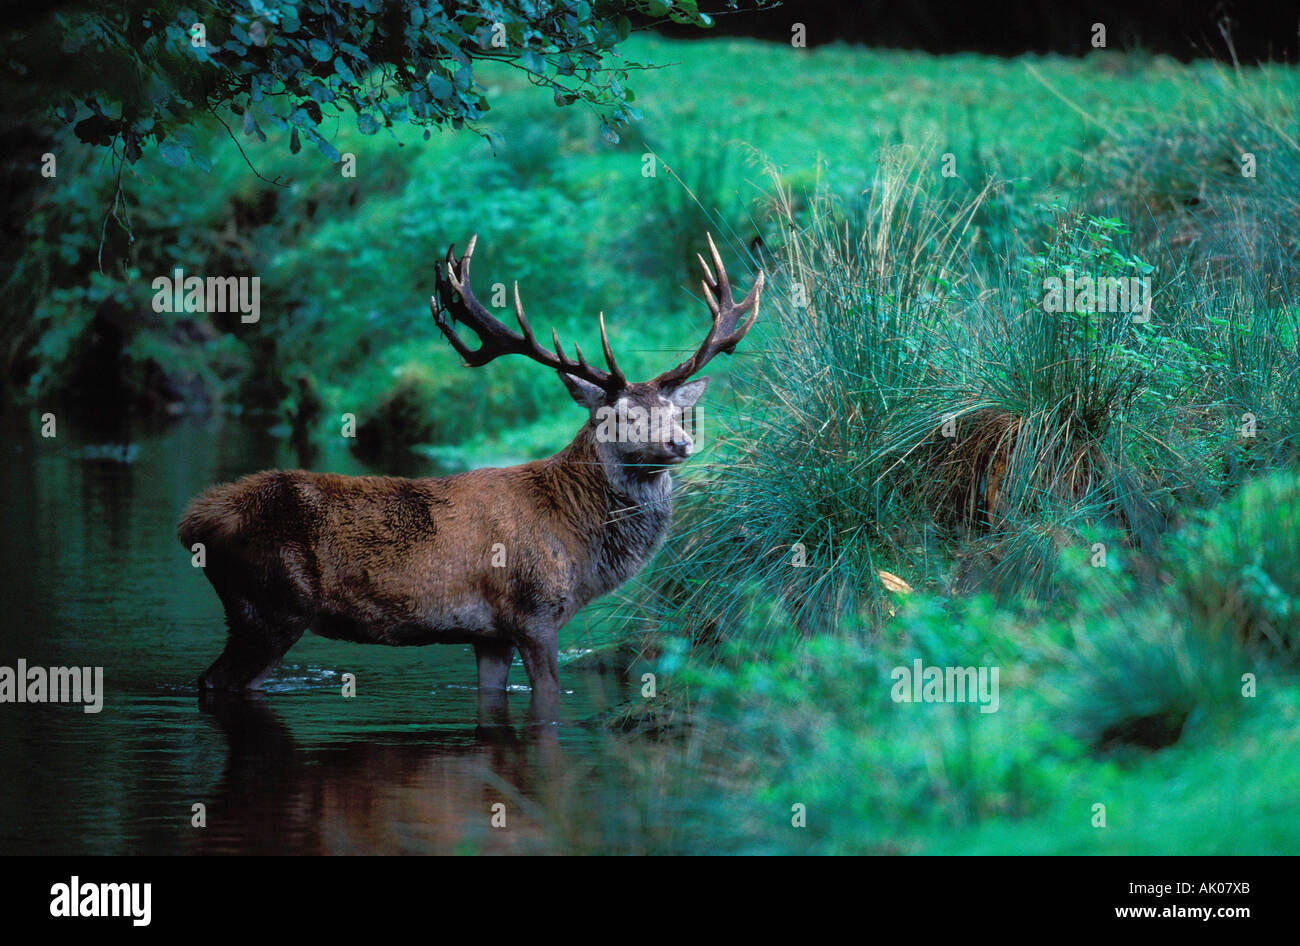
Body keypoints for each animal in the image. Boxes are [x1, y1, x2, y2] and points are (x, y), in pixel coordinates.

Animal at [178, 234, 764, 720]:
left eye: (675, 409)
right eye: (619, 415)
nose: (681, 442)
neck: (577, 545)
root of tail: (194, 521)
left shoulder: (490, 634)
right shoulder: (533, 610)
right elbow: (549, 694)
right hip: (271, 605)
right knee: (212, 680)